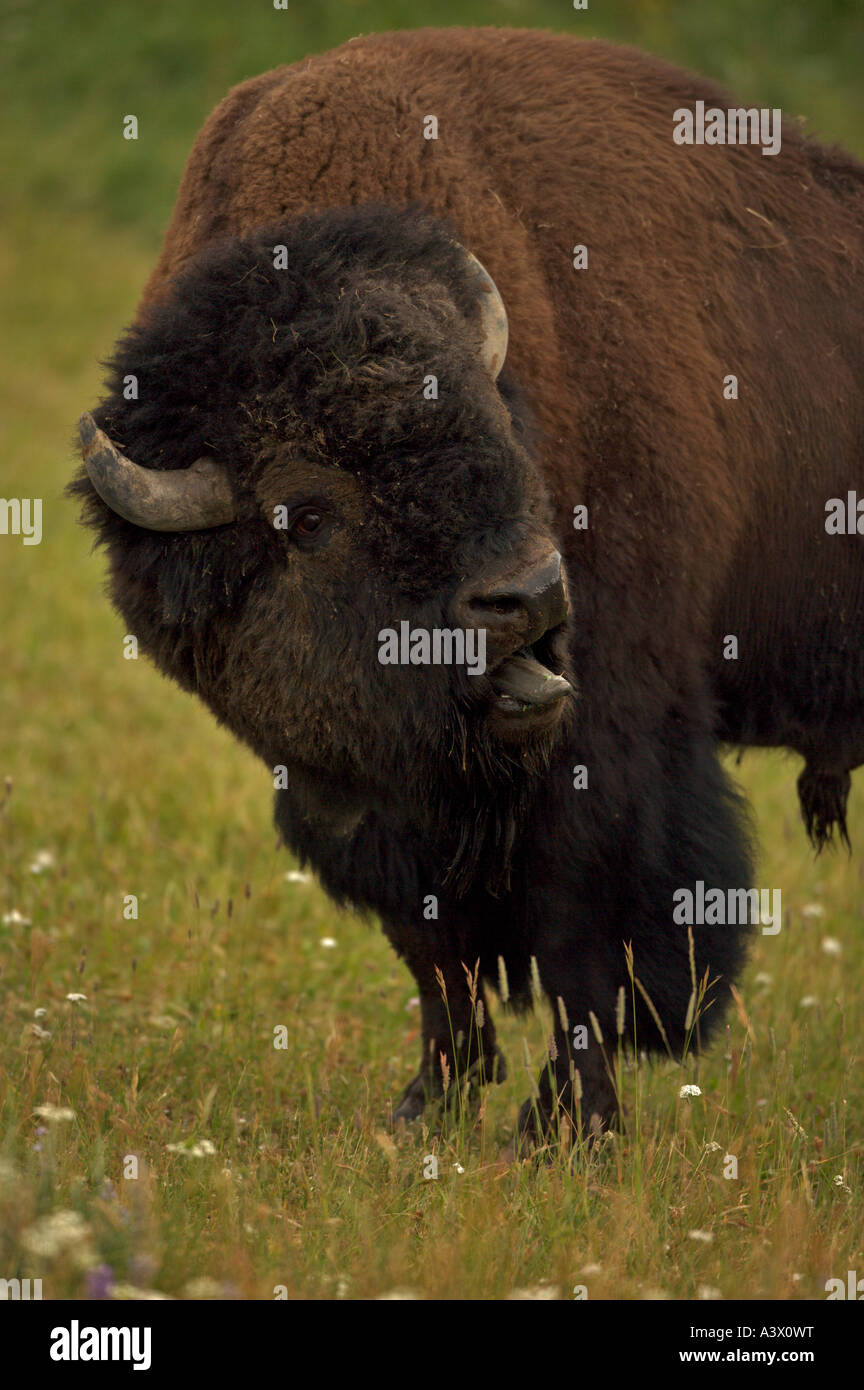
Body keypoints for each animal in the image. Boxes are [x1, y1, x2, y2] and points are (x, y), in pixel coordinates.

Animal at [71, 28, 864, 1139]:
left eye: (497, 423)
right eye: (305, 513)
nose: (527, 597)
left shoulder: (607, 757)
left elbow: (583, 946)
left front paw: (572, 1130)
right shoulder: (371, 800)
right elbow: (436, 954)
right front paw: (427, 1108)